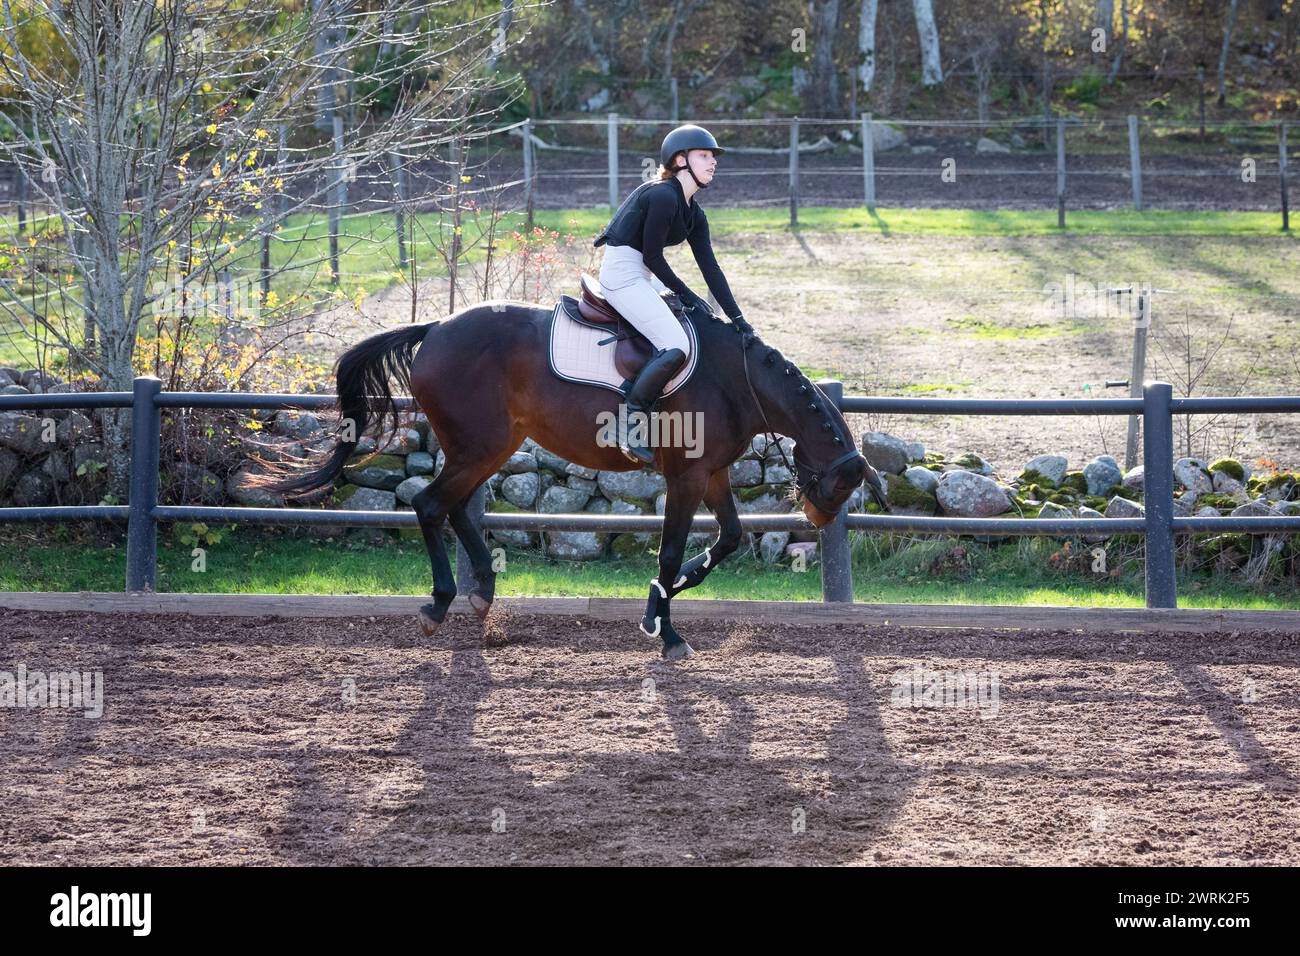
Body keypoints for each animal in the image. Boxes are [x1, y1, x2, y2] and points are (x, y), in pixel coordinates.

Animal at [255, 296, 883, 660]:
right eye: (842, 486)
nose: (817, 518)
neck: (737, 379)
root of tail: (435, 328)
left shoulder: (712, 473)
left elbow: (724, 540)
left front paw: (662, 602)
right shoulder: (685, 477)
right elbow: (670, 550)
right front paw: (666, 630)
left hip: (489, 447)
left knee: (453, 506)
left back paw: (482, 592)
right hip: (480, 446)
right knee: (431, 504)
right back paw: (441, 604)